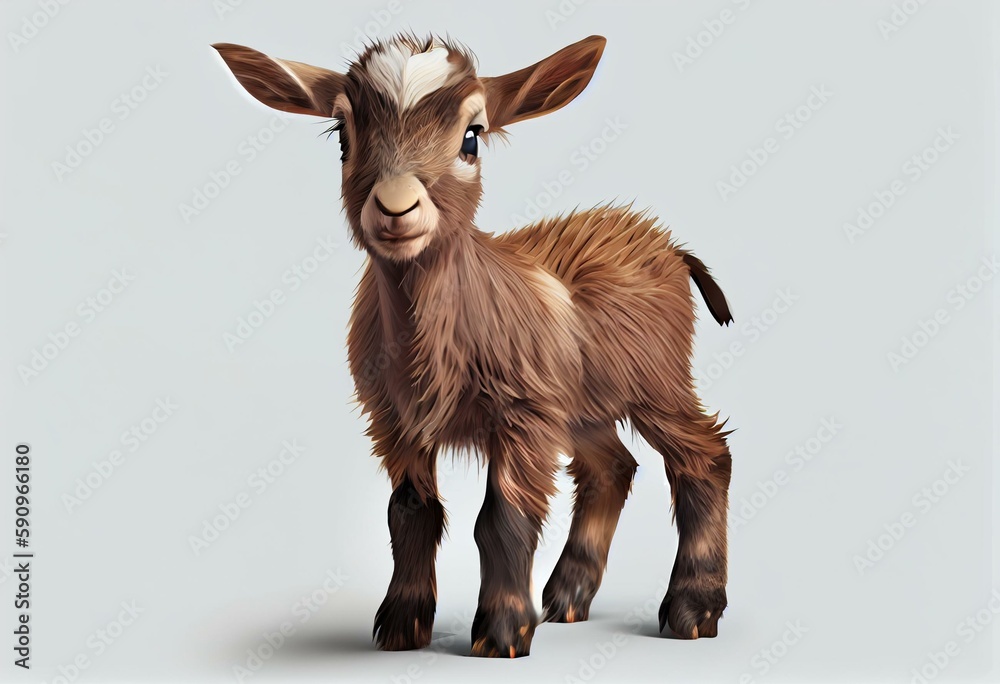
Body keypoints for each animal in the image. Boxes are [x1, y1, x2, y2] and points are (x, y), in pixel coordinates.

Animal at [214, 33, 734, 658]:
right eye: (342, 134)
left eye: (471, 137)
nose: (396, 206)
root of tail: (670, 246)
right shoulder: (395, 420)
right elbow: (409, 513)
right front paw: (402, 625)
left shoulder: (522, 414)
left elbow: (502, 518)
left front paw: (503, 631)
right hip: (582, 407)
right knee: (612, 467)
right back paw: (567, 597)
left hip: (657, 381)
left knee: (704, 456)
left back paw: (692, 607)